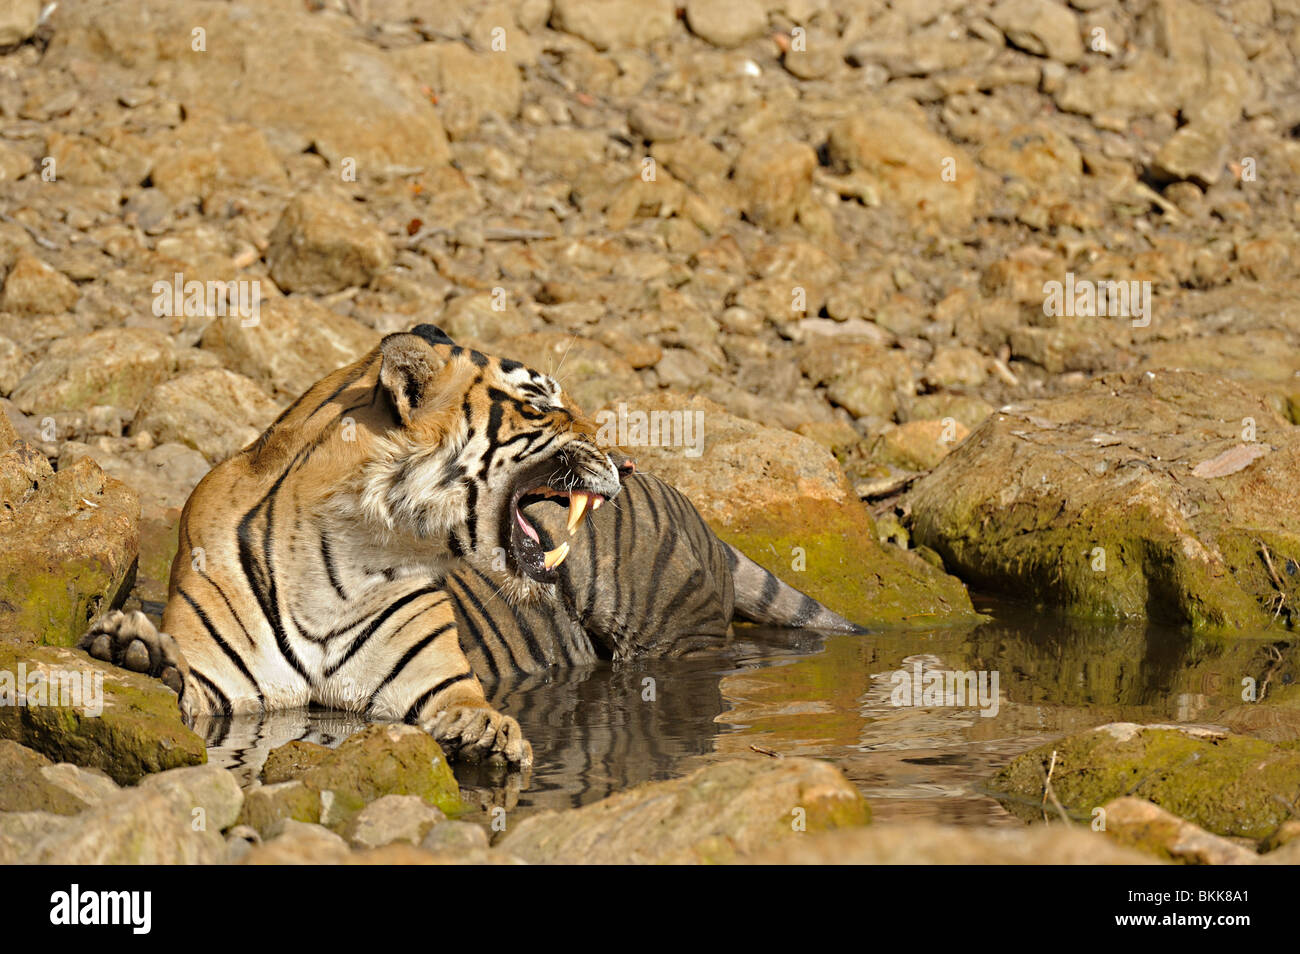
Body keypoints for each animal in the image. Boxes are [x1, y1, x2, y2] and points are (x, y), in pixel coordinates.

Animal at [80, 324, 862, 770]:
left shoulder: (434, 683)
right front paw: (133, 647)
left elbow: (469, 709)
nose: (625, 460)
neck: (347, 549)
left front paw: (487, 736)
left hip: (666, 637)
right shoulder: (226, 685)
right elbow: (180, 679)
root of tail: (687, 502)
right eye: (541, 401)